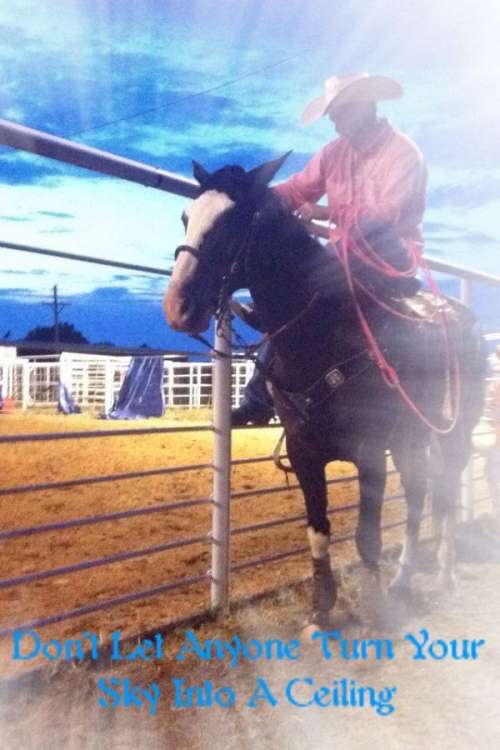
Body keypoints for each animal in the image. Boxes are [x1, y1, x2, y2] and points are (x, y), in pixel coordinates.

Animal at [164, 155, 485, 628]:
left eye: (232, 221)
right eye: (186, 217)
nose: (178, 307)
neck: (321, 337)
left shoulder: (370, 454)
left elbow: (367, 536)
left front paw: (375, 610)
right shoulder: (304, 452)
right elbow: (318, 530)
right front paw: (322, 607)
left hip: (454, 433)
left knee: (442, 490)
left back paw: (444, 573)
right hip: (409, 439)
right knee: (418, 496)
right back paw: (403, 579)